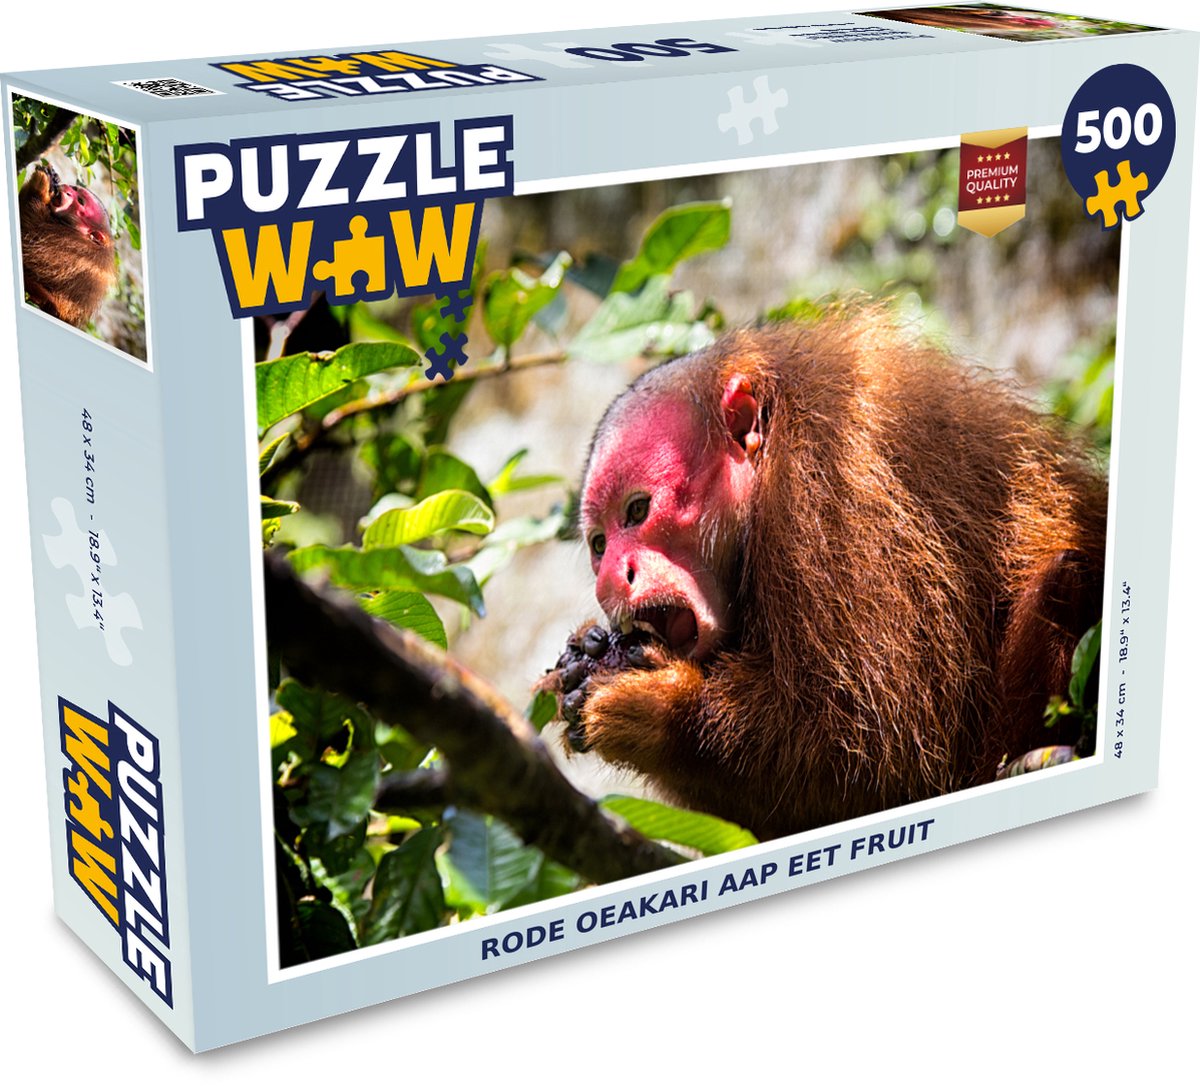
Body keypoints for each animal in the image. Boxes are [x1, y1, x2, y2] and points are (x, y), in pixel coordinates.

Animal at [19, 163, 116, 328]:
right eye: (74, 189)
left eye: (81, 201)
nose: (68, 191)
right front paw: (51, 178)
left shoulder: (73, 247)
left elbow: (29, 242)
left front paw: (41, 184)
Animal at [540, 310, 1108, 840]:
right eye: (599, 545)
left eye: (637, 511)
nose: (610, 580)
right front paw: (586, 654)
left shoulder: (833, 490)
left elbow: (883, 749)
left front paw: (661, 710)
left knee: (1062, 581)